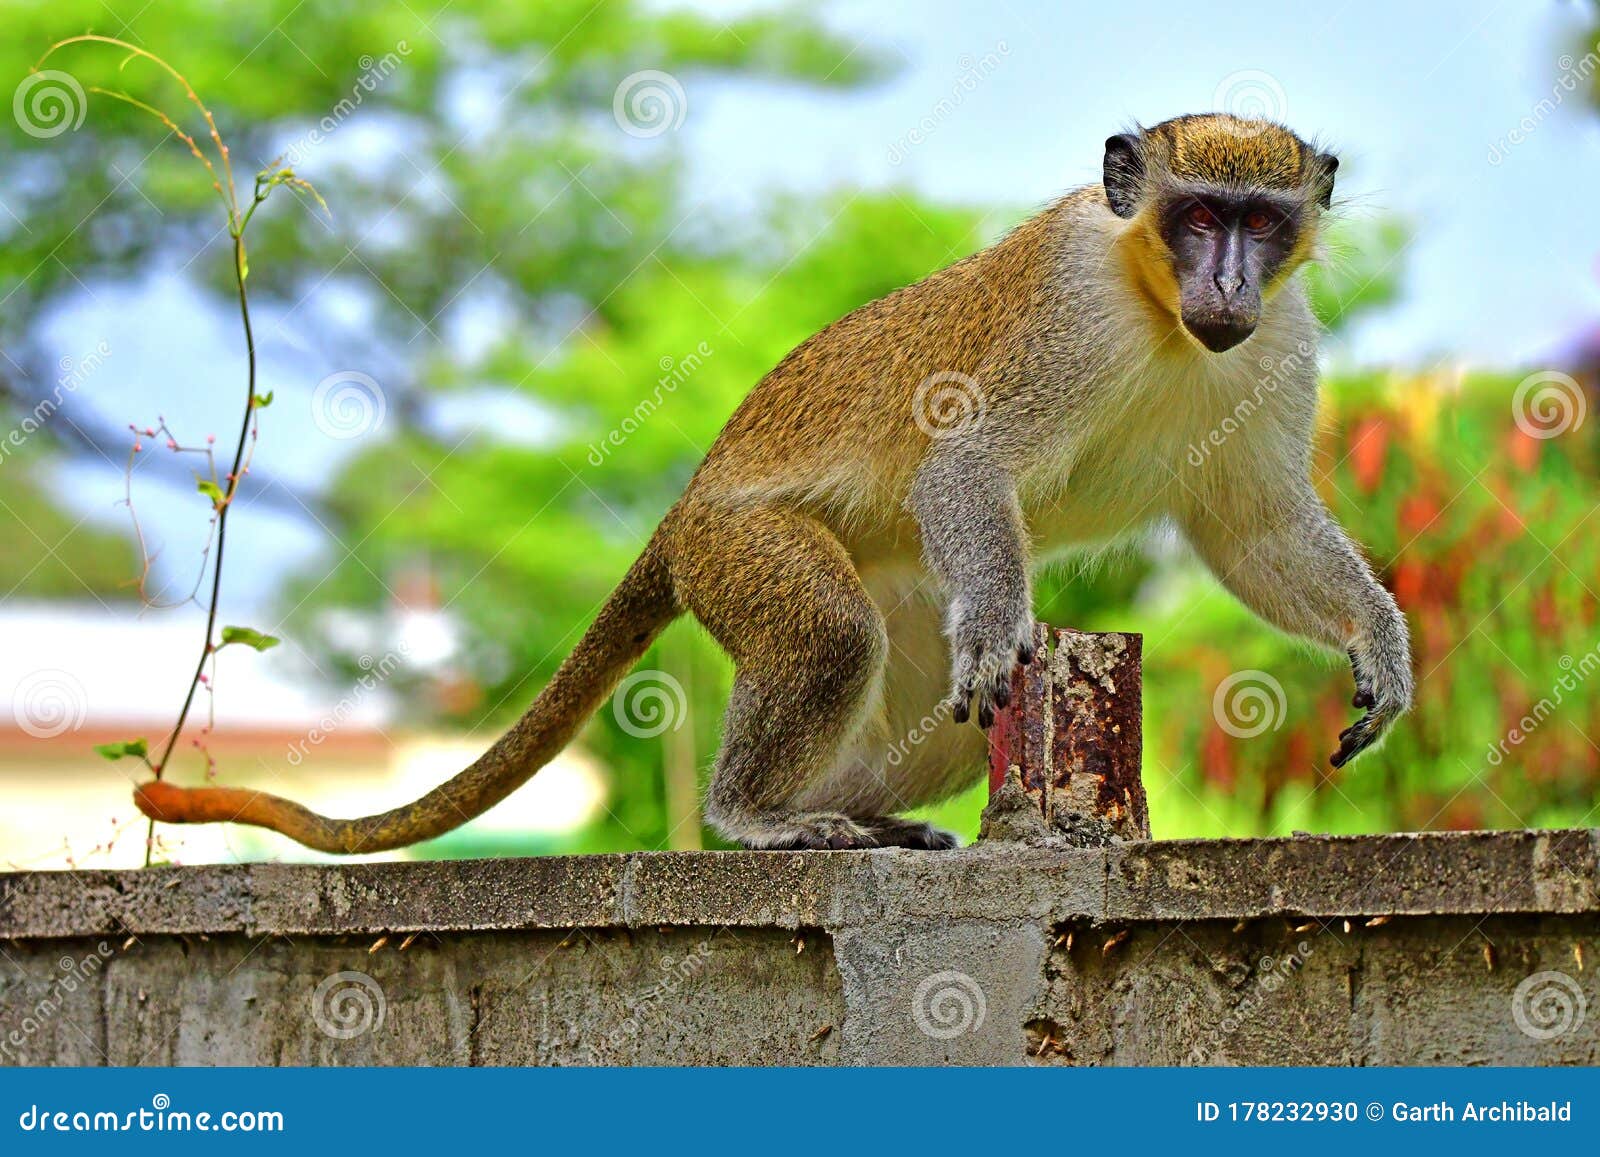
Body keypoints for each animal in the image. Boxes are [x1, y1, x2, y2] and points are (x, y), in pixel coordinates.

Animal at [135, 113, 1413, 854]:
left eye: (1259, 223)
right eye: (1195, 216)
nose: (1228, 284)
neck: (1153, 309)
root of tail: (685, 510)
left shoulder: (1280, 339)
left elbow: (1251, 526)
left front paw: (1379, 645)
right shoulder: (1066, 315)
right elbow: (966, 459)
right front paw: (999, 627)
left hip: (884, 578)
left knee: (926, 694)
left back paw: (844, 809)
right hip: (740, 550)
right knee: (835, 631)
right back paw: (752, 815)